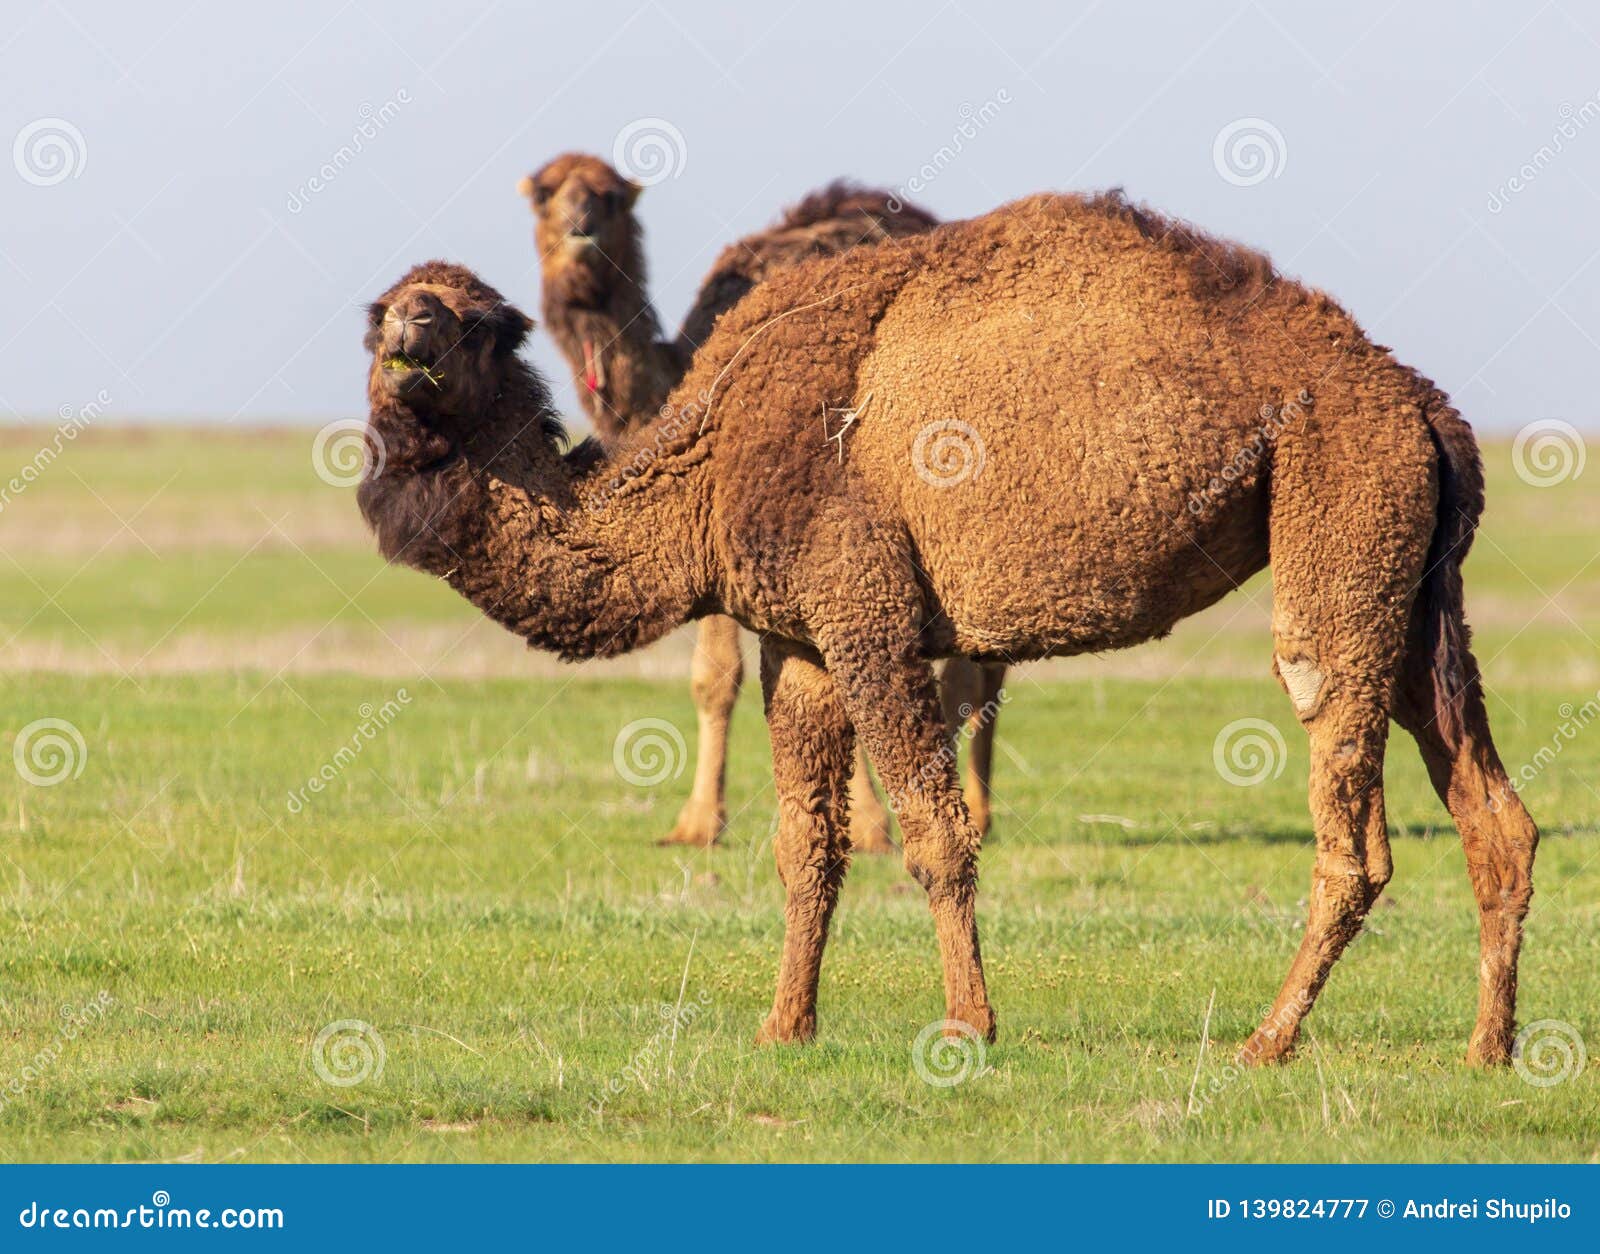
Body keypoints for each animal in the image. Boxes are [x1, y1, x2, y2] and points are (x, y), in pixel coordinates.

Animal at [515, 153, 1005, 853]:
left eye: (610, 197)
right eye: (545, 194)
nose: (579, 224)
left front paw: (871, 828)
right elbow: (715, 674)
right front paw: (696, 824)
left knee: (972, 673)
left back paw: (976, 812)